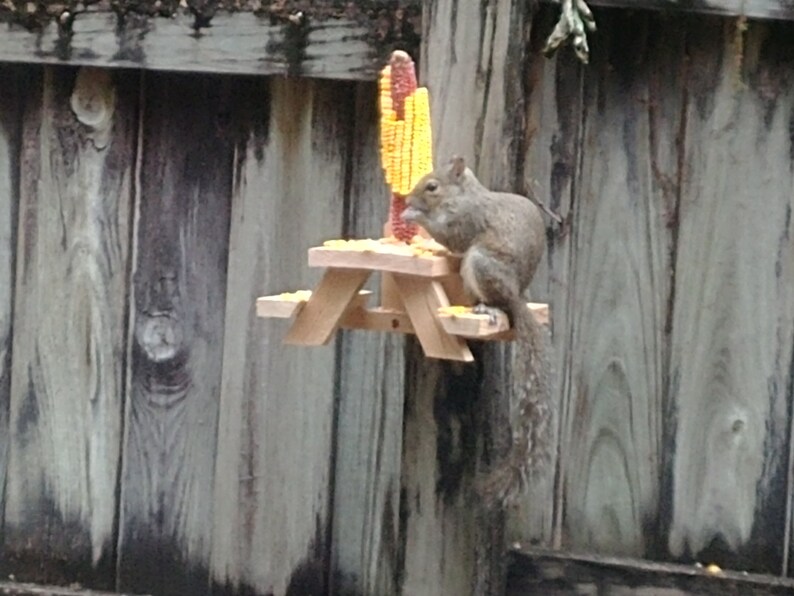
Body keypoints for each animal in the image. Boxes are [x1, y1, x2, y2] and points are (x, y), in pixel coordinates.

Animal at [402, 155, 551, 507]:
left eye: (432, 186)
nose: (408, 199)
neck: (464, 195)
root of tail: (516, 295)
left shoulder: (465, 222)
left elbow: (450, 235)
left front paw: (413, 215)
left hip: (482, 263)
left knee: (496, 301)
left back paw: (487, 308)